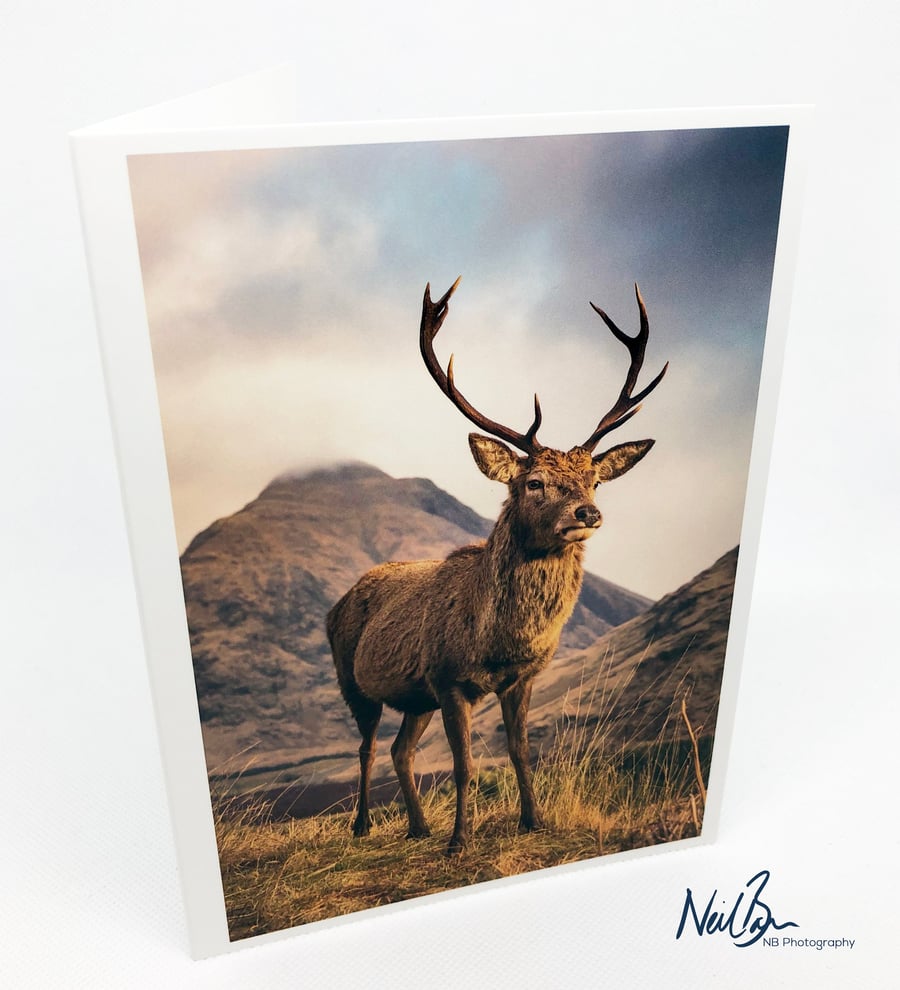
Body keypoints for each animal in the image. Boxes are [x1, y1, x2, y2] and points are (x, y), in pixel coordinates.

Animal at [327, 277, 667, 855]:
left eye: (595, 480)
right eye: (534, 482)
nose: (588, 513)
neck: (496, 640)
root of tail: (337, 604)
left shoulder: (518, 679)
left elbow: (519, 752)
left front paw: (534, 820)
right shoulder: (448, 678)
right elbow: (464, 766)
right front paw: (459, 841)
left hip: (414, 698)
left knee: (399, 750)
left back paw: (418, 827)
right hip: (353, 680)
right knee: (367, 748)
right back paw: (364, 826)